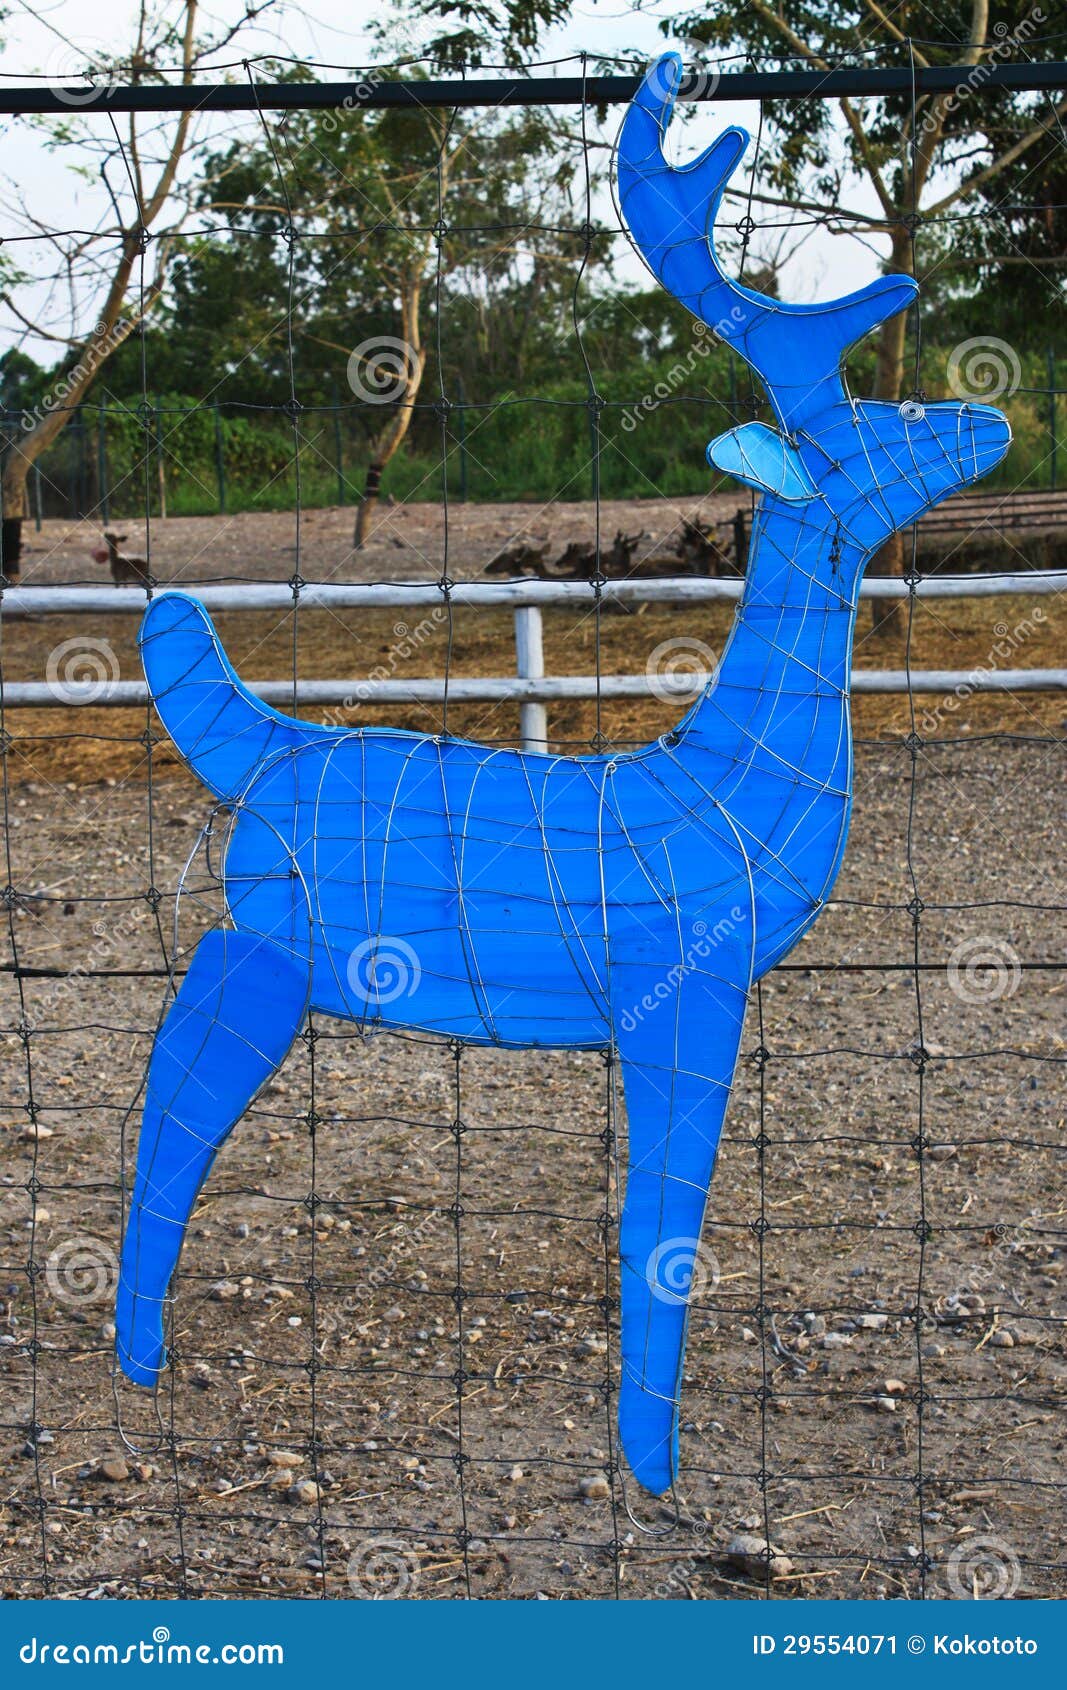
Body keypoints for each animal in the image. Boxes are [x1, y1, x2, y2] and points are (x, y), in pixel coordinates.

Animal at [114, 55, 1010, 1498]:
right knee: (173, 1094)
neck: (727, 787)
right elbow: (663, 1235)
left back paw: (140, 1358)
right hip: (267, 944)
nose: (985, 410)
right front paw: (653, 1468)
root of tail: (269, 740)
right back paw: (138, 1356)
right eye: (884, 417)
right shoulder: (683, 986)